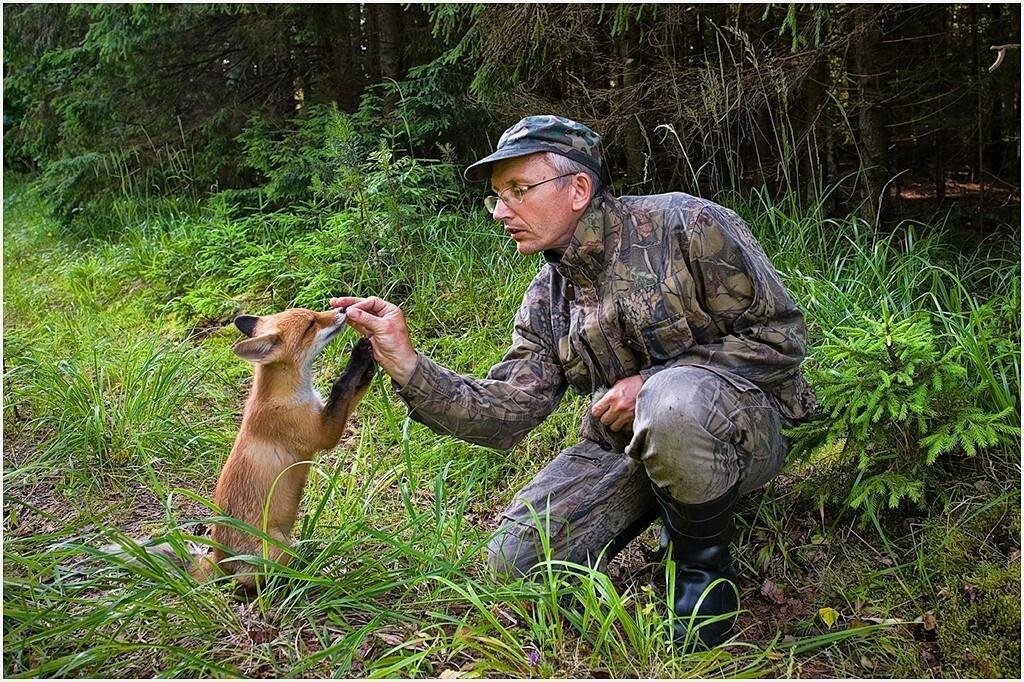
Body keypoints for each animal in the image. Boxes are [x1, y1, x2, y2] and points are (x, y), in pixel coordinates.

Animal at [184, 305, 376, 585]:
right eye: (310, 325)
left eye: (314, 313)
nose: (341, 308)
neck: (284, 395)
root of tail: (220, 560)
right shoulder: (322, 434)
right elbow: (342, 387)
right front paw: (359, 358)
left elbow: (356, 389)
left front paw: (368, 364)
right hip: (277, 549)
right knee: (249, 583)